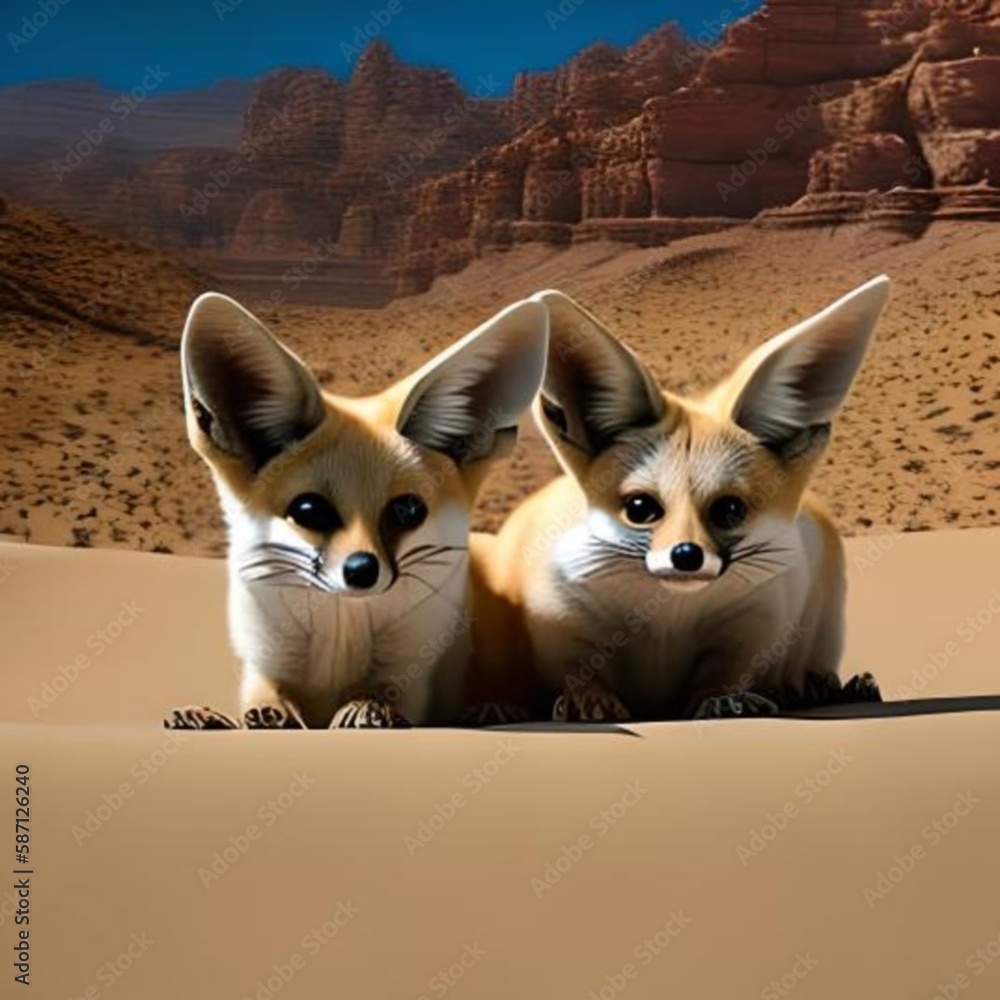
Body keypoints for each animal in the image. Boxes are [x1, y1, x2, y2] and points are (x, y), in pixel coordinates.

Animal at [173, 291, 548, 730]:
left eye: (408, 510)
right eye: (308, 509)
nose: (362, 570)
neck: (341, 644)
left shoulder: (411, 677)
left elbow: (380, 698)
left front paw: (365, 709)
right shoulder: (264, 667)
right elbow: (265, 702)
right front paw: (235, 716)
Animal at [475, 276, 891, 722]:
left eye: (730, 509)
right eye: (640, 508)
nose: (686, 555)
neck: (667, 621)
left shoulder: (754, 619)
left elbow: (726, 674)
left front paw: (724, 701)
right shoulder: (560, 617)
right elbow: (580, 672)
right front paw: (588, 704)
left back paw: (825, 687)